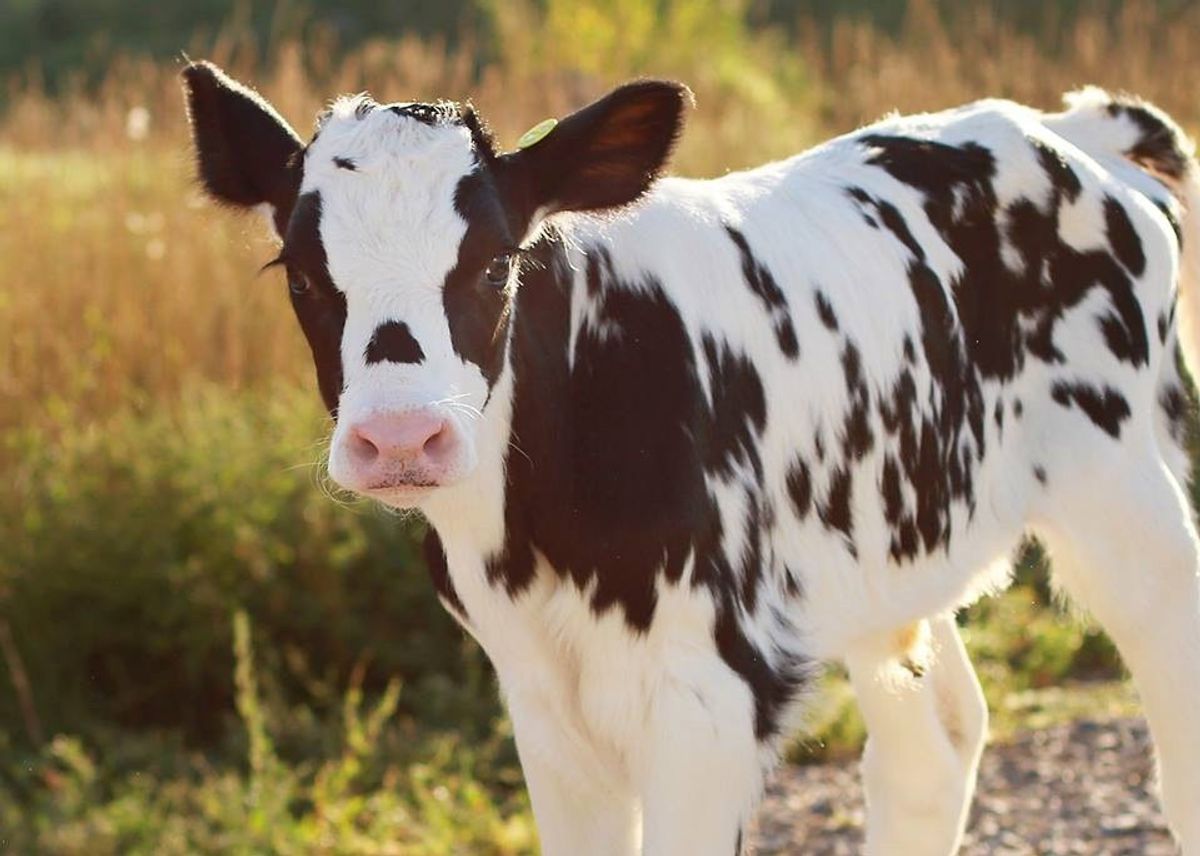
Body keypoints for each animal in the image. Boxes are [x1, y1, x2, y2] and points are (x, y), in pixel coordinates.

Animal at [182, 60, 1200, 855]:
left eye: (495, 263)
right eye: (301, 274)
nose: (399, 436)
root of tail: (1064, 129)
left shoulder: (709, 698)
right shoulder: (543, 705)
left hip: (1123, 490)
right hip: (885, 555)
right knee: (935, 745)